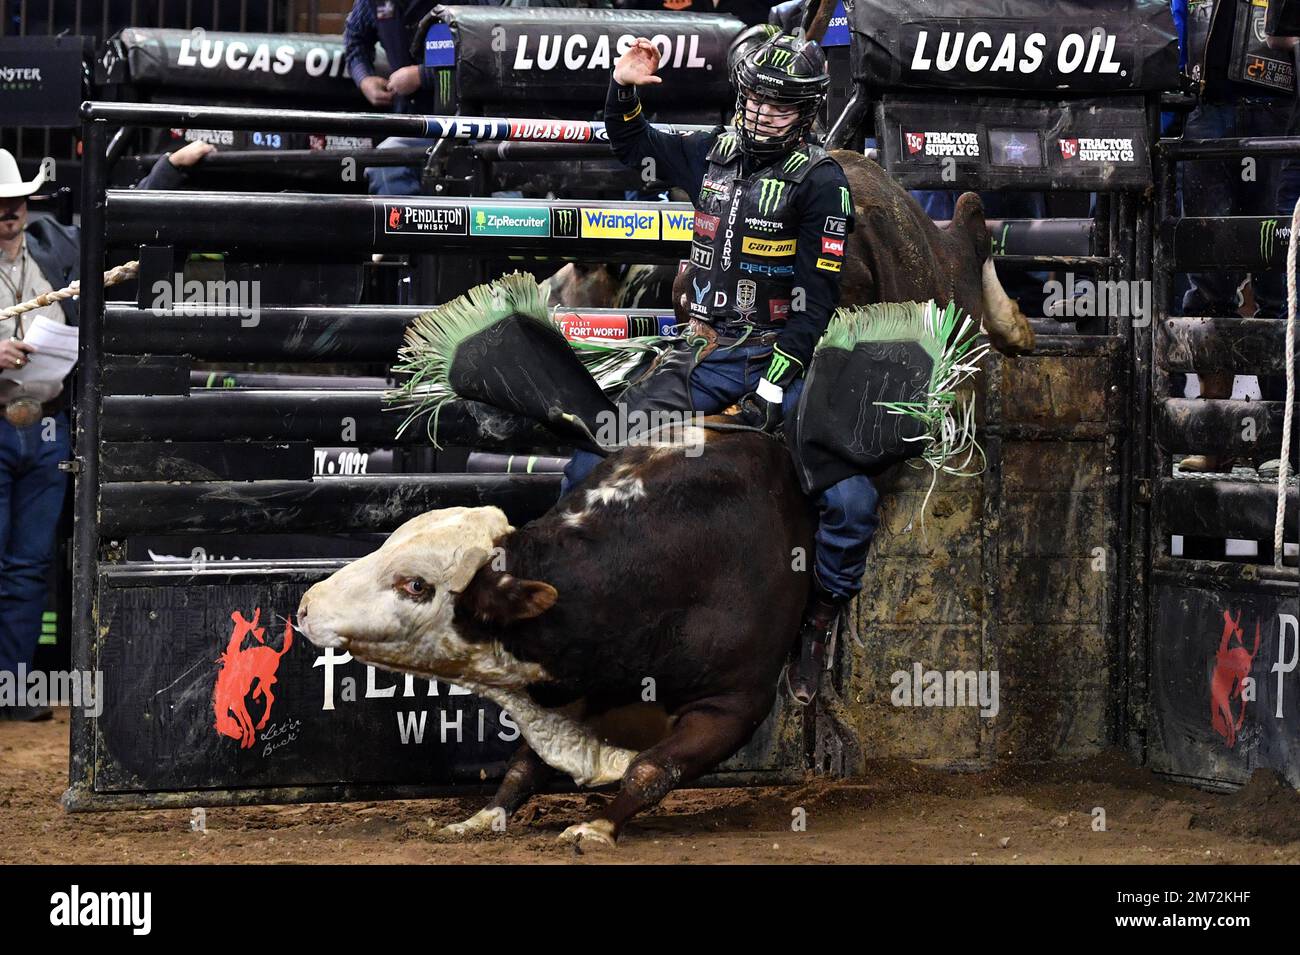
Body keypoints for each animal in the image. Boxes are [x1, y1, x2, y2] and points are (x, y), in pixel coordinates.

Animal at [297, 423, 813, 847]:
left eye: (417, 585)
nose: (305, 607)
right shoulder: (568, 685)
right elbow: (523, 769)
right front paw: (480, 820)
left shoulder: (734, 702)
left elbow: (650, 768)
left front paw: (598, 827)